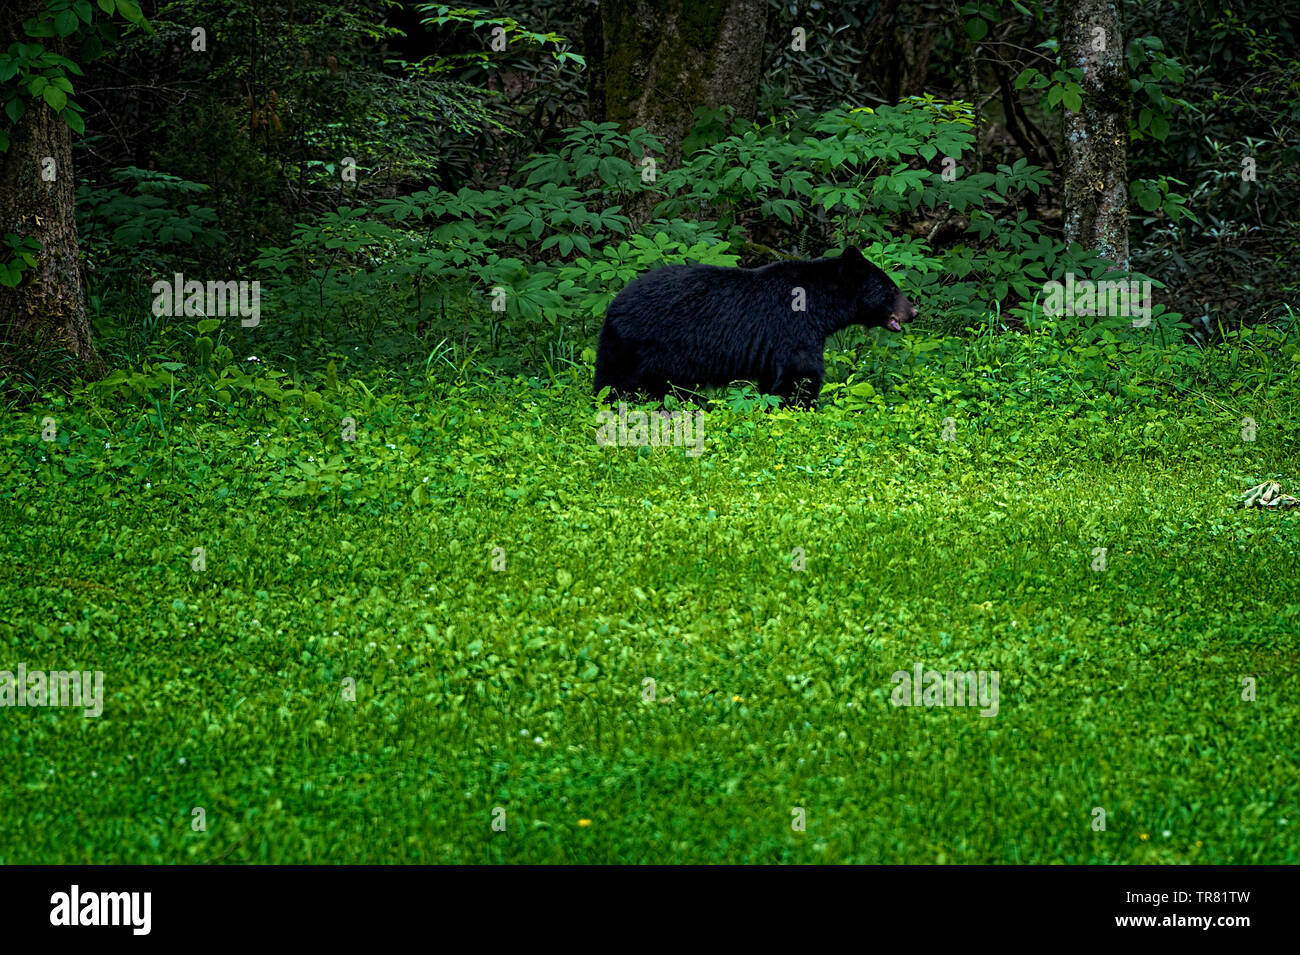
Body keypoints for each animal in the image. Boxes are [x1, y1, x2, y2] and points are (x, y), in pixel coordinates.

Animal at [593, 246, 917, 408]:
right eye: (891, 288)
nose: (913, 311)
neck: (818, 304)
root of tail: (614, 304)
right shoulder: (793, 328)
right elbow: (801, 374)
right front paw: (801, 406)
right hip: (641, 346)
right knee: (617, 382)